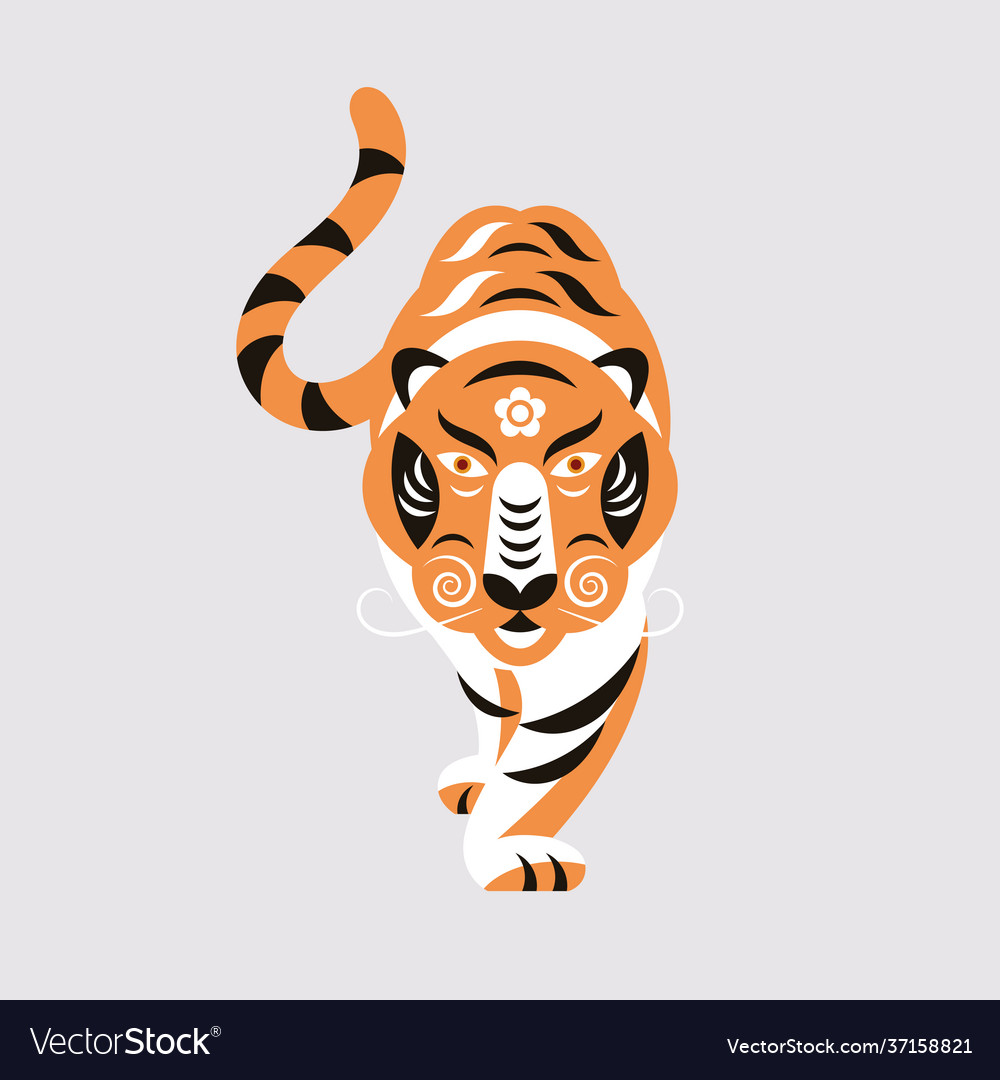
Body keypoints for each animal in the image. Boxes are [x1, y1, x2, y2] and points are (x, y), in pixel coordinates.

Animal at [236, 88, 678, 891]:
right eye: (462, 465)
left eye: (576, 465)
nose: (520, 590)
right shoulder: (442, 604)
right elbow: (502, 714)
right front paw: (510, 848)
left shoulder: (602, 635)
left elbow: (545, 760)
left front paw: (511, 848)